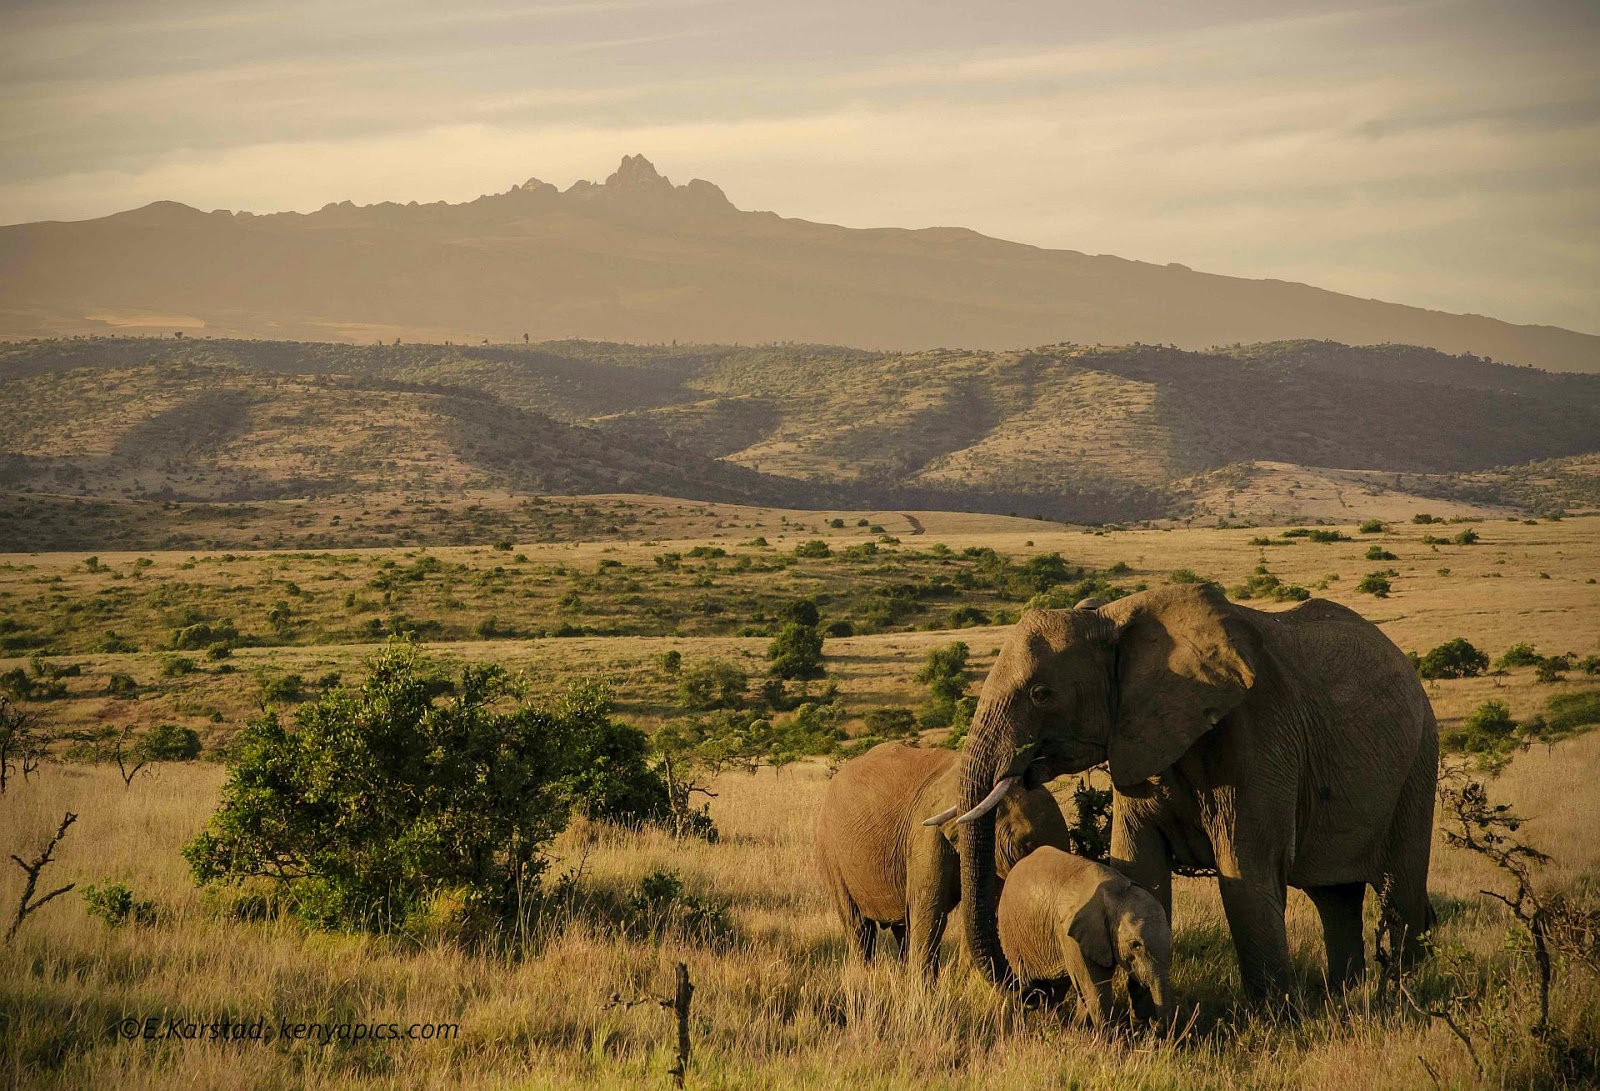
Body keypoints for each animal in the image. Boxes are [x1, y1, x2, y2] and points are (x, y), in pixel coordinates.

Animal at [816, 741, 1071, 976]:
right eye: (1021, 847)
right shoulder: (926, 835)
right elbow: (930, 912)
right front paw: (925, 993)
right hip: (829, 847)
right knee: (858, 925)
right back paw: (865, 975)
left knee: (902, 927)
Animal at [948, 583, 1437, 1003]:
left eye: (1041, 694)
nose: (1034, 990)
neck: (1112, 619)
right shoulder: (1137, 739)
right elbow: (1139, 869)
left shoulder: (1259, 736)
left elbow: (1244, 876)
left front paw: (1273, 1021)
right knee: (1336, 898)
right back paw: (1344, 996)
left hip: (1418, 760)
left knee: (1400, 891)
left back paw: (1408, 991)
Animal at [998, 846, 1171, 1029]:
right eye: (1135, 945)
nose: (1154, 1022)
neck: (1116, 895)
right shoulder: (1071, 936)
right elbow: (1093, 985)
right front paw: (1105, 1034)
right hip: (1012, 935)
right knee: (1028, 985)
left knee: (1057, 988)